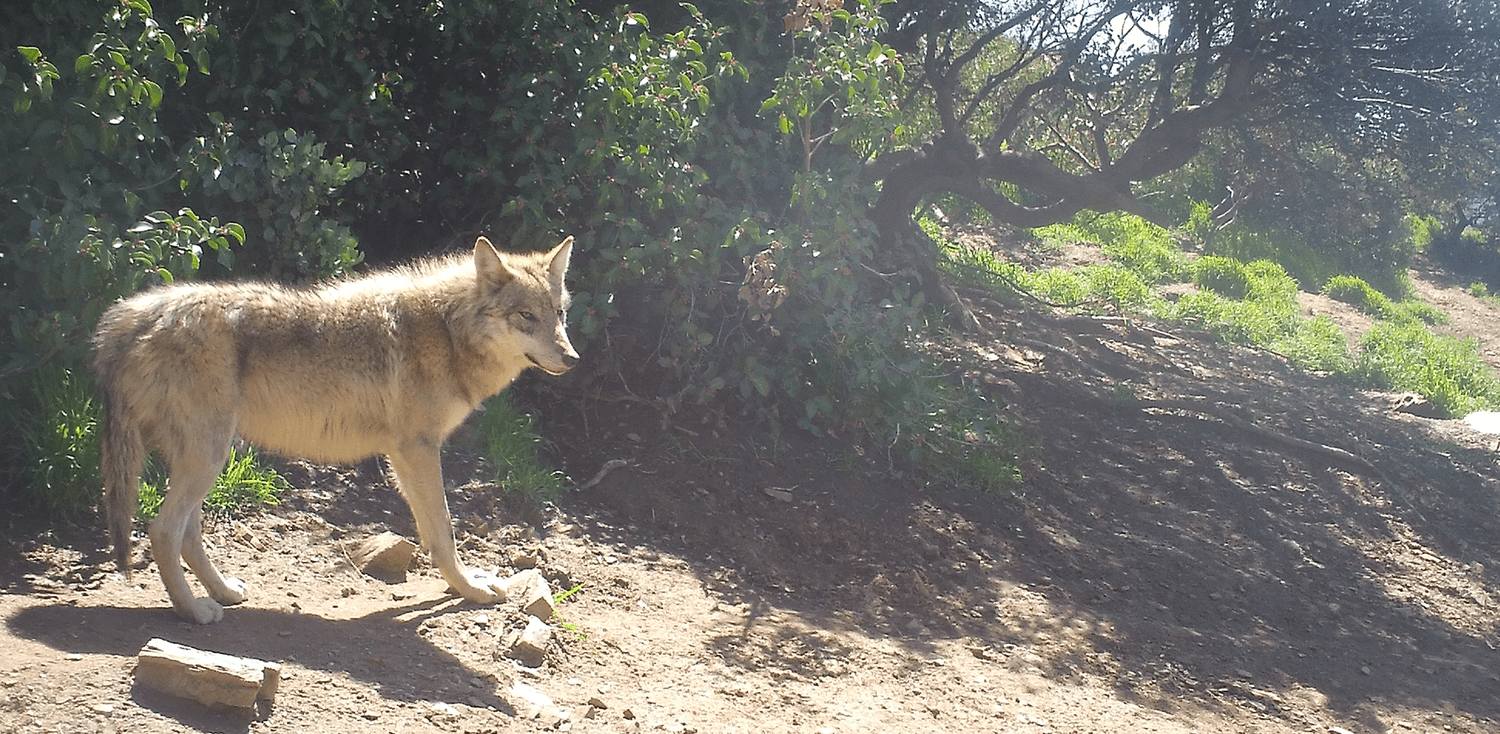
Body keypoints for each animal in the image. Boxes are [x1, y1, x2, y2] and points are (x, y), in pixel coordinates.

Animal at [93, 235, 579, 624]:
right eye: (525, 316)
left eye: (558, 314)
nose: (572, 359)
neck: (445, 330)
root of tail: (134, 313)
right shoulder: (417, 449)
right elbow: (444, 532)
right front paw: (471, 590)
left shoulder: (405, 455)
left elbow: (432, 532)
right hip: (206, 457)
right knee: (162, 531)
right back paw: (193, 612)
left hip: (206, 457)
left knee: (188, 534)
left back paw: (224, 593)